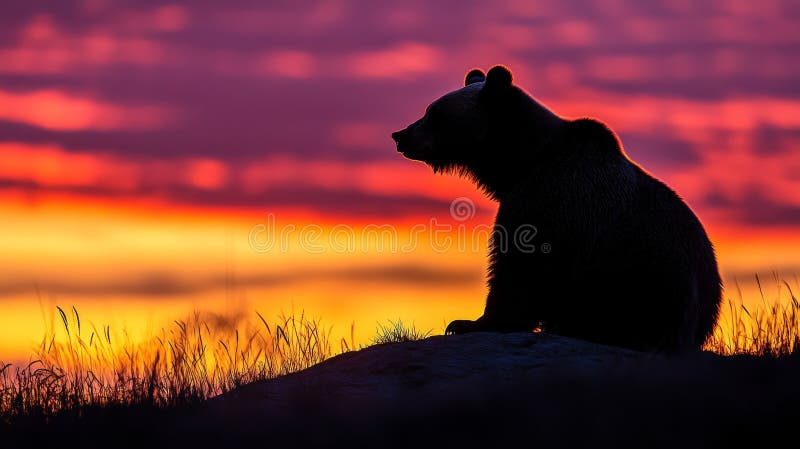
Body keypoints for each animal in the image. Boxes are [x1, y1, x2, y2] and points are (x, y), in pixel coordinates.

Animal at [391, 65, 722, 352]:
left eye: (433, 113)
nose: (400, 135)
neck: (521, 163)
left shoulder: (549, 201)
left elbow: (519, 266)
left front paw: (467, 323)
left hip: (640, 280)